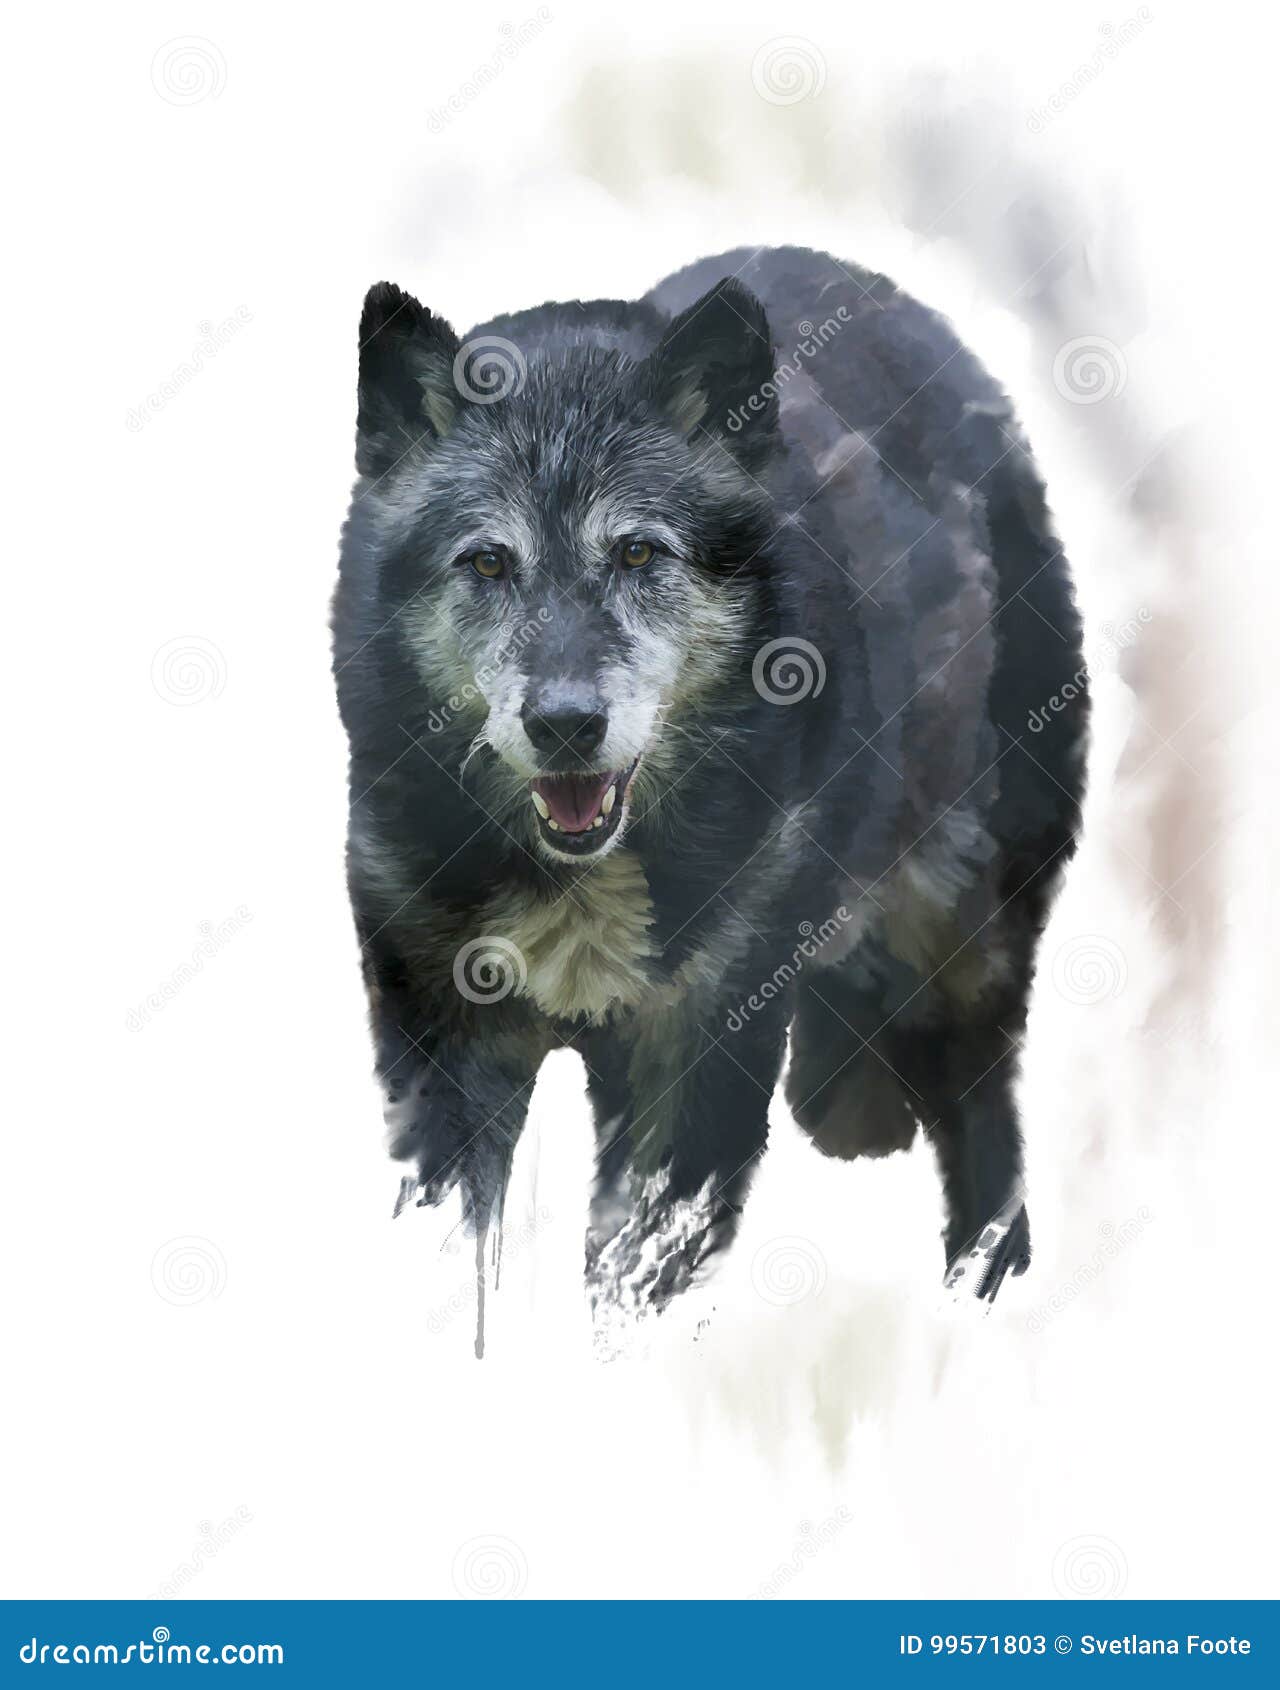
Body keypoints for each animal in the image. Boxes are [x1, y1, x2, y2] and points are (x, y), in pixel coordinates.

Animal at [332, 245, 1088, 1347]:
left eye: (639, 552)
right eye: (488, 561)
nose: (566, 724)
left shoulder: (697, 1064)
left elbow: (636, 1287)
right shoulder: (441, 1058)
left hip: (954, 948)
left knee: (986, 1120)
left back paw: (979, 1300)